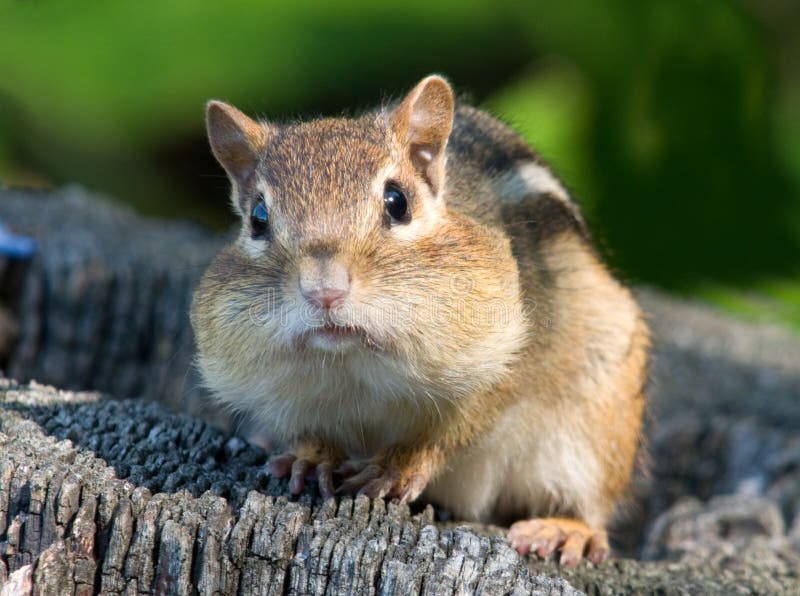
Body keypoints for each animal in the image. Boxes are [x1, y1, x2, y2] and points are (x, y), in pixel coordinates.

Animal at [191, 75, 649, 567]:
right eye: (258, 218)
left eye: (397, 202)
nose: (324, 291)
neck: (353, 363)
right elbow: (306, 429)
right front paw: (309, 457)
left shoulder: (510, 361)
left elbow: (454, 427)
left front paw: (398, 465)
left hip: (598, 426)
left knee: (590, 505)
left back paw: (565, 530)